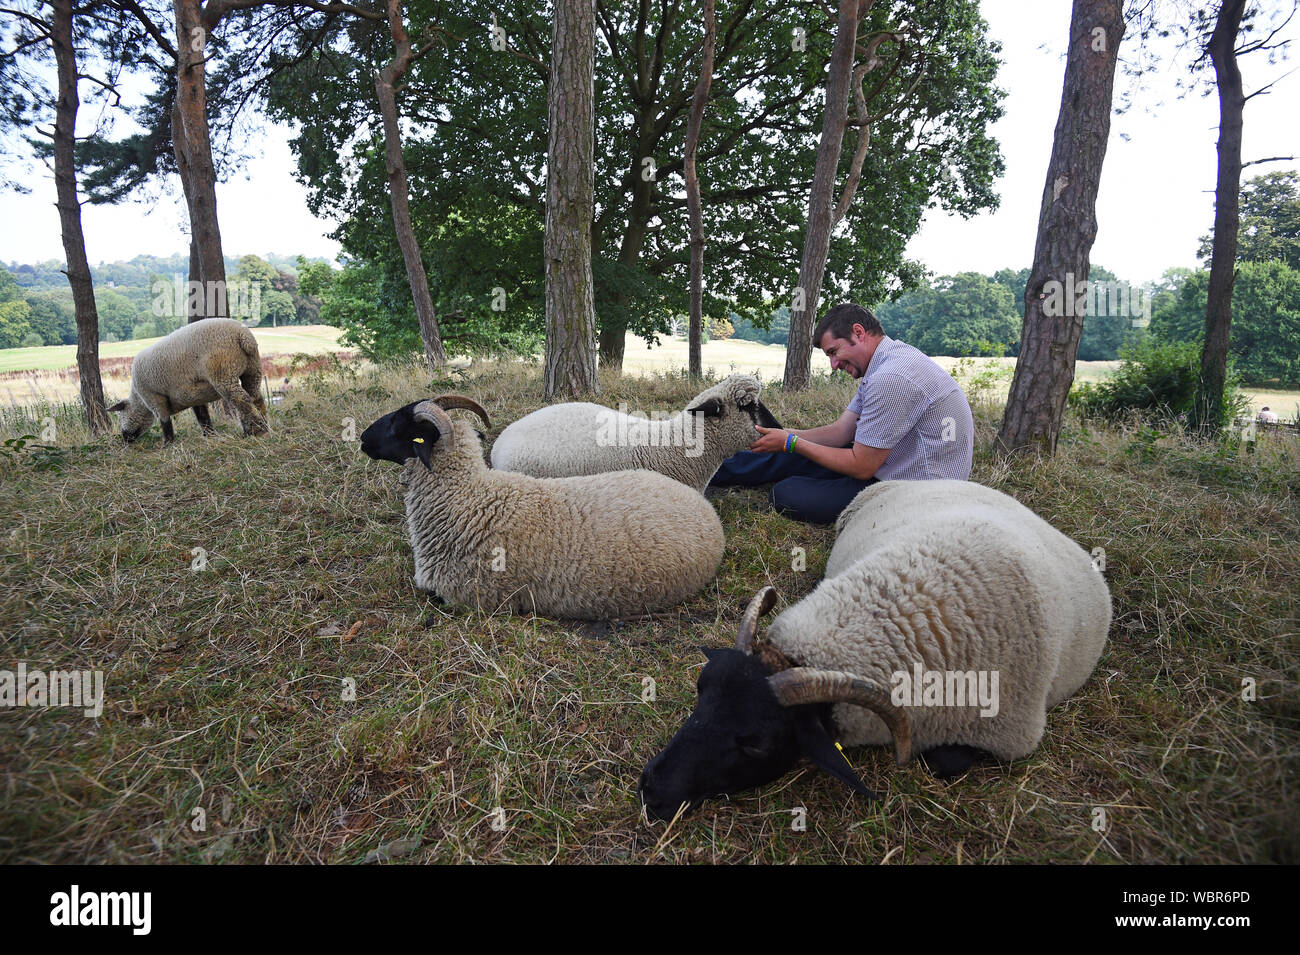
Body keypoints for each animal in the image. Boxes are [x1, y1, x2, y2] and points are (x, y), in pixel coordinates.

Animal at [106, 318, 268, 443]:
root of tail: (243, 335)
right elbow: (202, 416)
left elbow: (165, 421)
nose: (125, 438)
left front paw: (168, 443)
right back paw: (264, 427)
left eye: (121, 415)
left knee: (242, 400)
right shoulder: (191, 395)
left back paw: (254, 432)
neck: (139, 400)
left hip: (223, 371)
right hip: (252, 368)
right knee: (256, 397)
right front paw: (209, 435)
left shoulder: (154, 398)